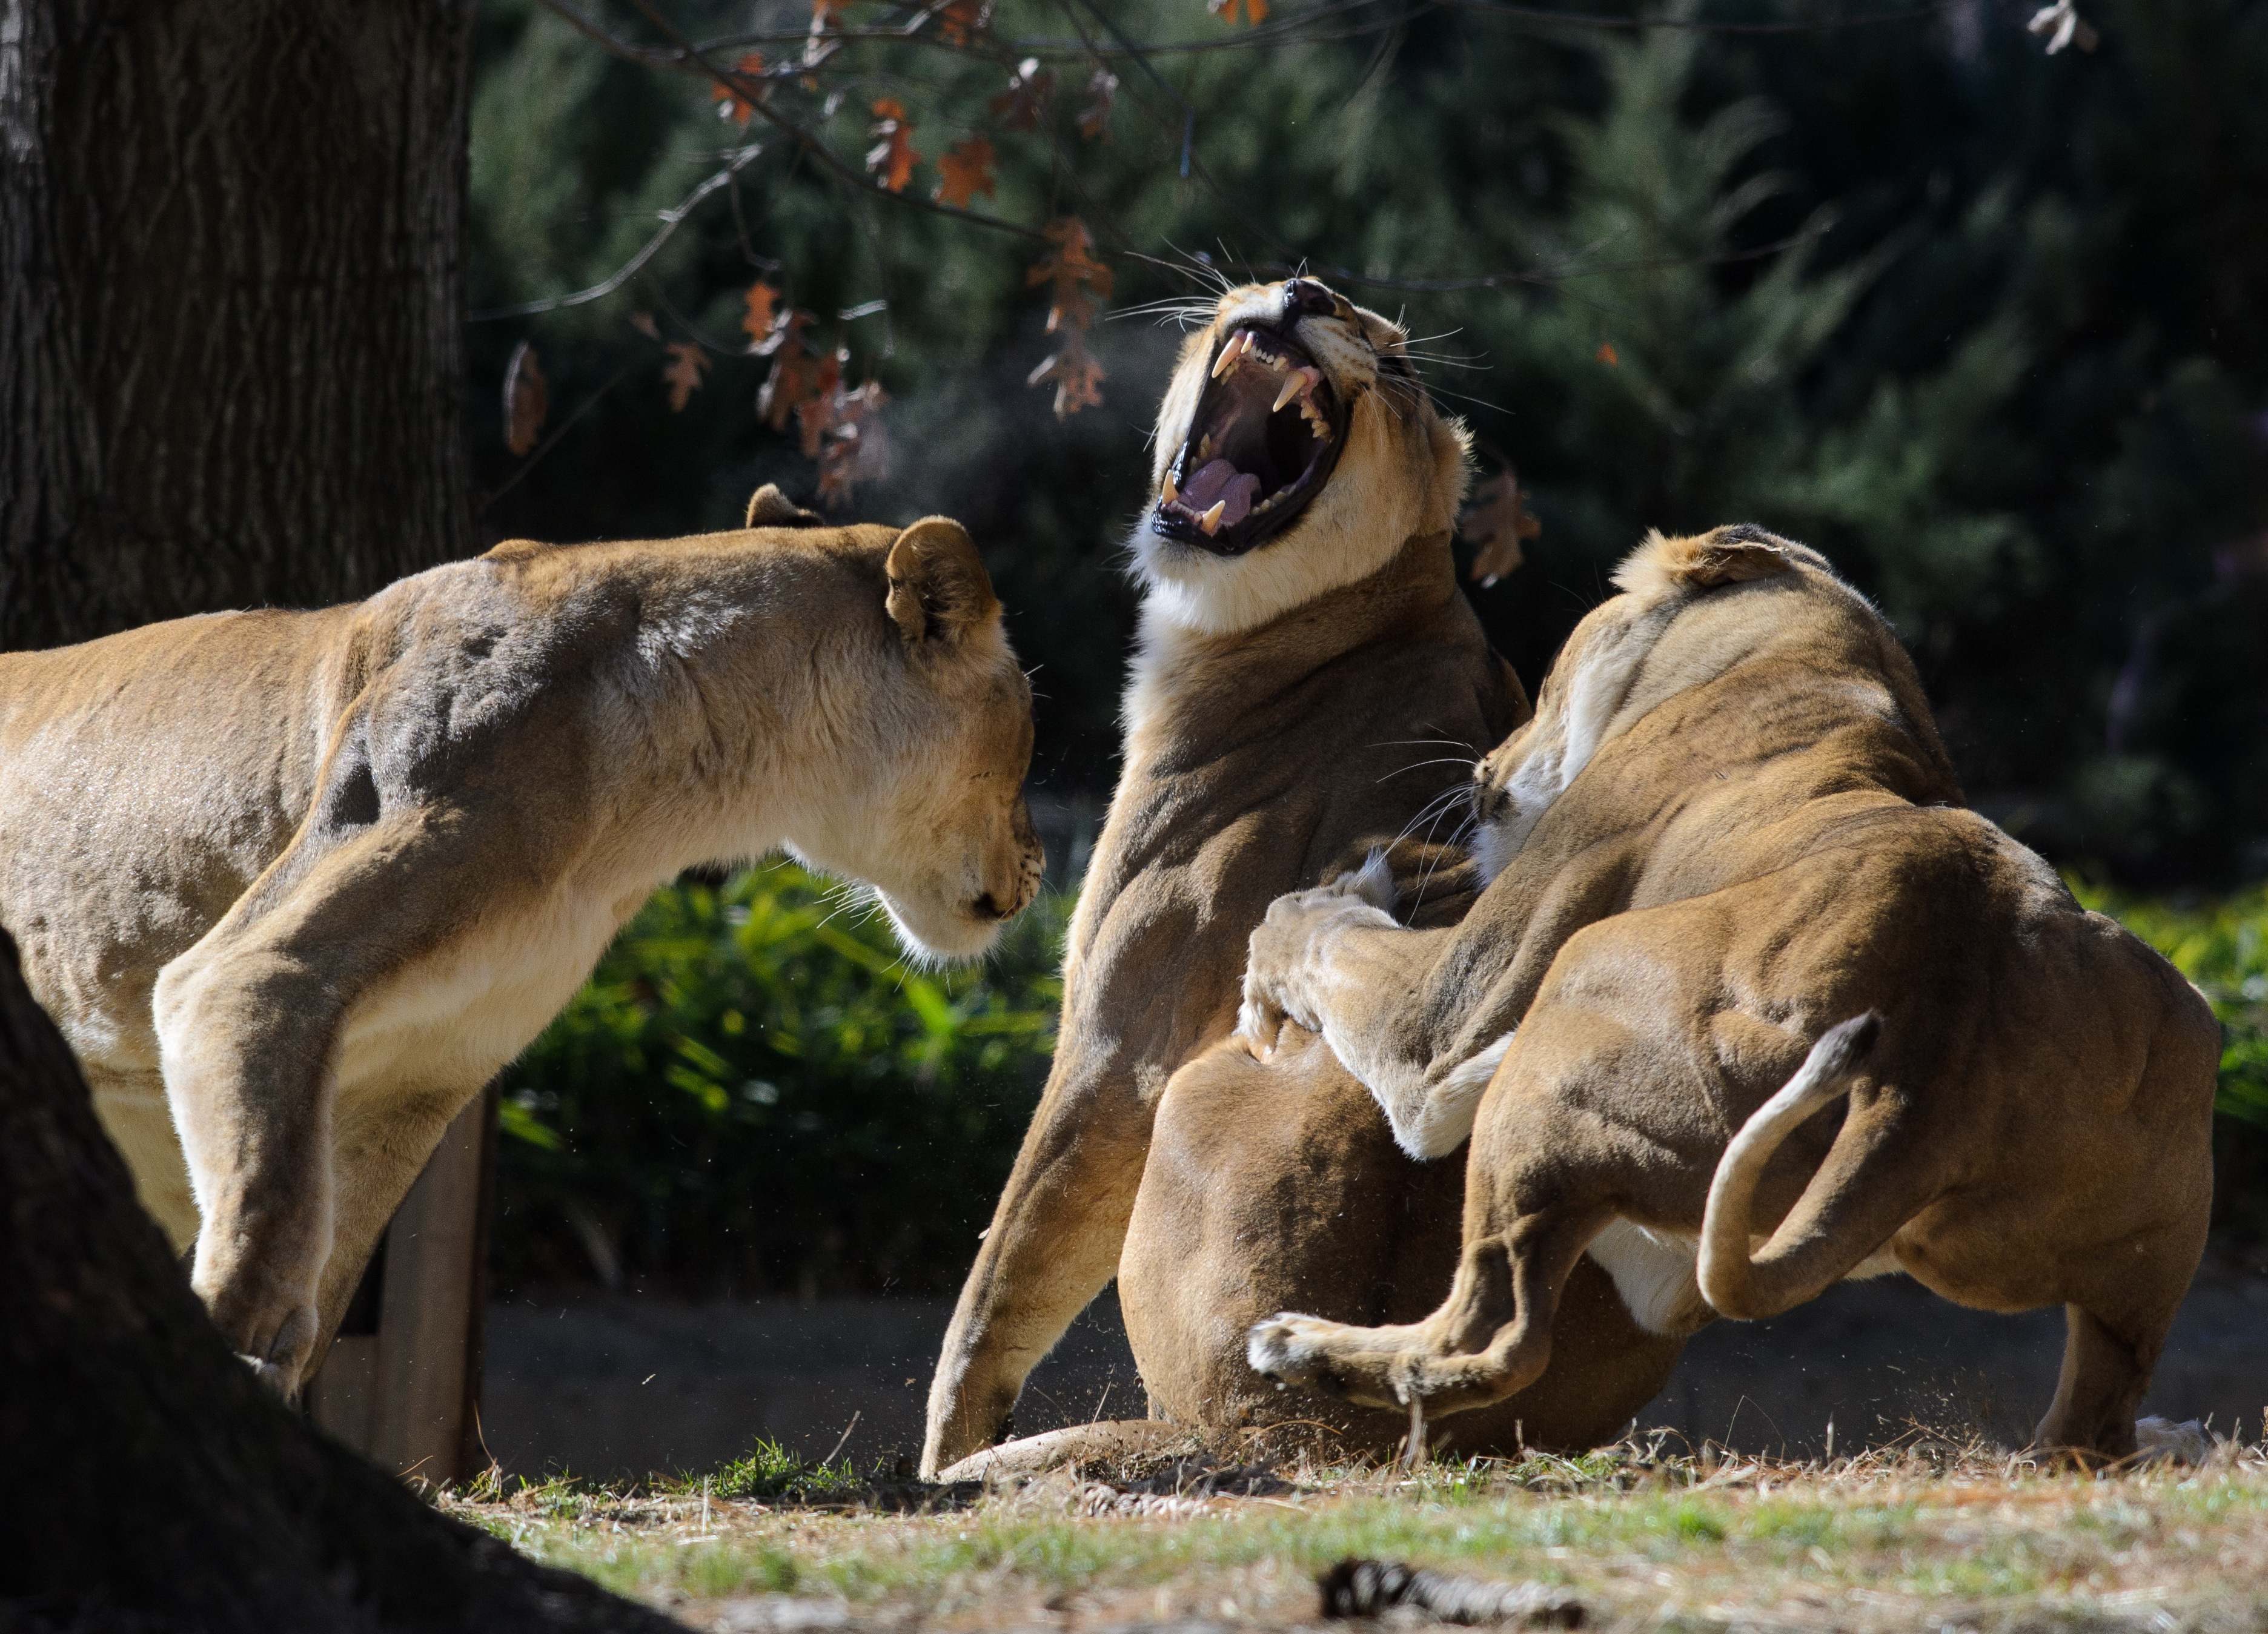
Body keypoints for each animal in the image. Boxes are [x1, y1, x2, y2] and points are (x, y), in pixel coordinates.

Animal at [0, 488, 1043, 1395]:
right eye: (1031, 732)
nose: (1039, 864)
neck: (667, 806)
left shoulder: (418, 1073)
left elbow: (330, 1249)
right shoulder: (258, 969)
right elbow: (273, 1196)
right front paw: (238, 1354)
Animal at [923, 276, 1682, 1478]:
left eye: (1400, 363)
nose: (1305, 290)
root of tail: (1308, 1430)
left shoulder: (1117, 1046)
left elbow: (995, 1288)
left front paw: (936, 1463)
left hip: (1197, 1084)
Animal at [1238, 525, 2220, 1459]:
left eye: (1546, 676)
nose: (1486, 767)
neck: (1825, 665)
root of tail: (1929, 1074)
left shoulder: (1443, 1017)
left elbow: (1312, 930)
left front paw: (1291, 943)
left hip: (1574, 989)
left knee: (1492, 1339)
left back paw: (1299, 1346)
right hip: (2172, 1080)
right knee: (2092, 1428)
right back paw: (2166, 1440)